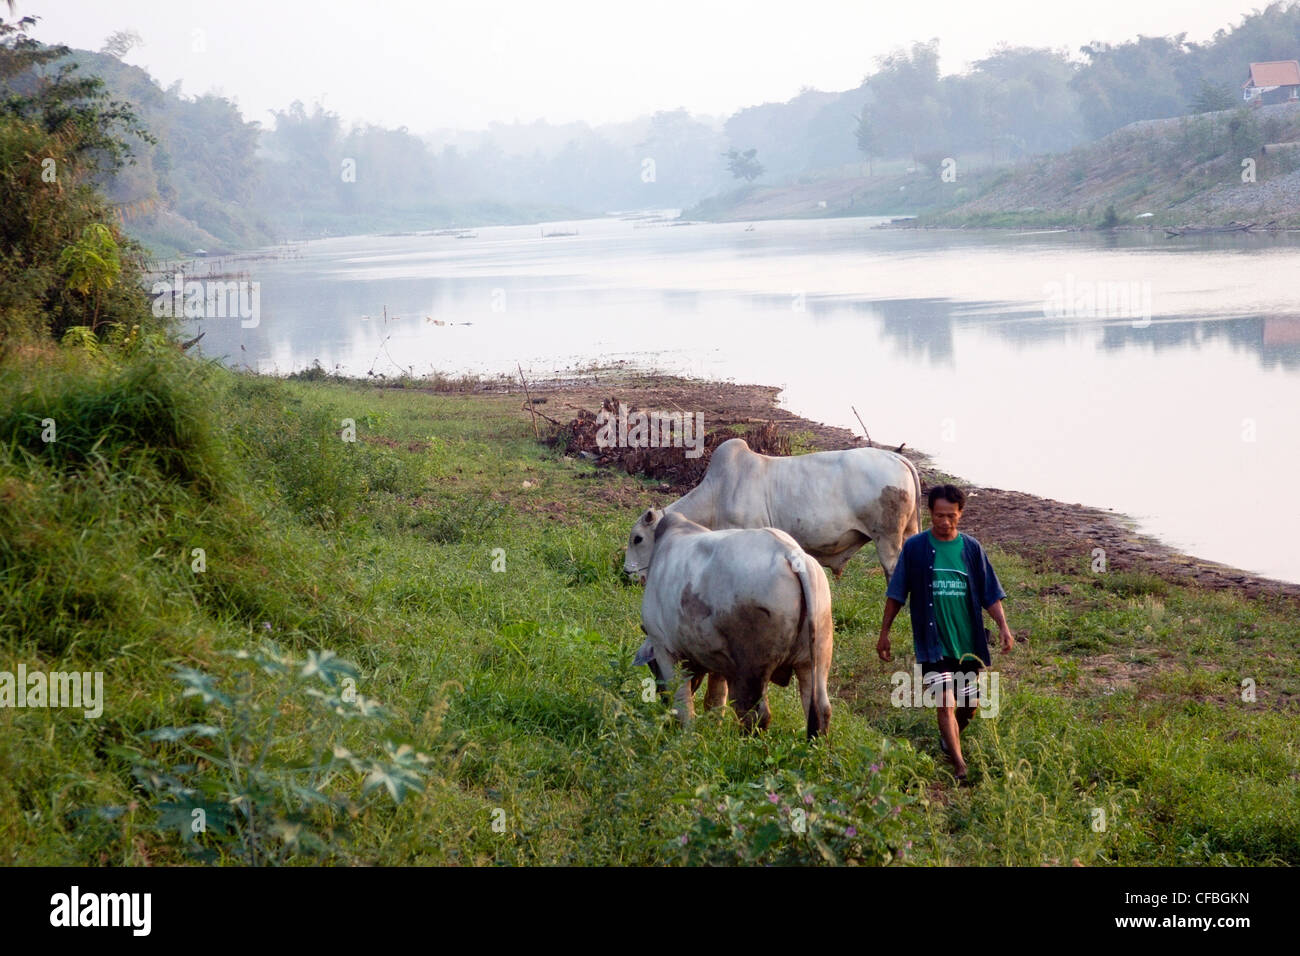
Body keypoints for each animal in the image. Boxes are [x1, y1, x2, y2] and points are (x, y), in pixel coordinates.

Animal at [623, 438, 921, 584]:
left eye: (638, 538)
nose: (628, 575)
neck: (717, 493)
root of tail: (897, 457)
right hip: (908, 532)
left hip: (887, 539)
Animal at [634, 512, 833, 739]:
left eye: (652, 664)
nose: (661, 696)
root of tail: (790, 554)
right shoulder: (719, 662)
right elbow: (714, 701)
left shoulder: (666, 650)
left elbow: (683, 706)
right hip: (814, 658)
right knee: (819, 709)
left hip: (751, 669)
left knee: (756, 714)